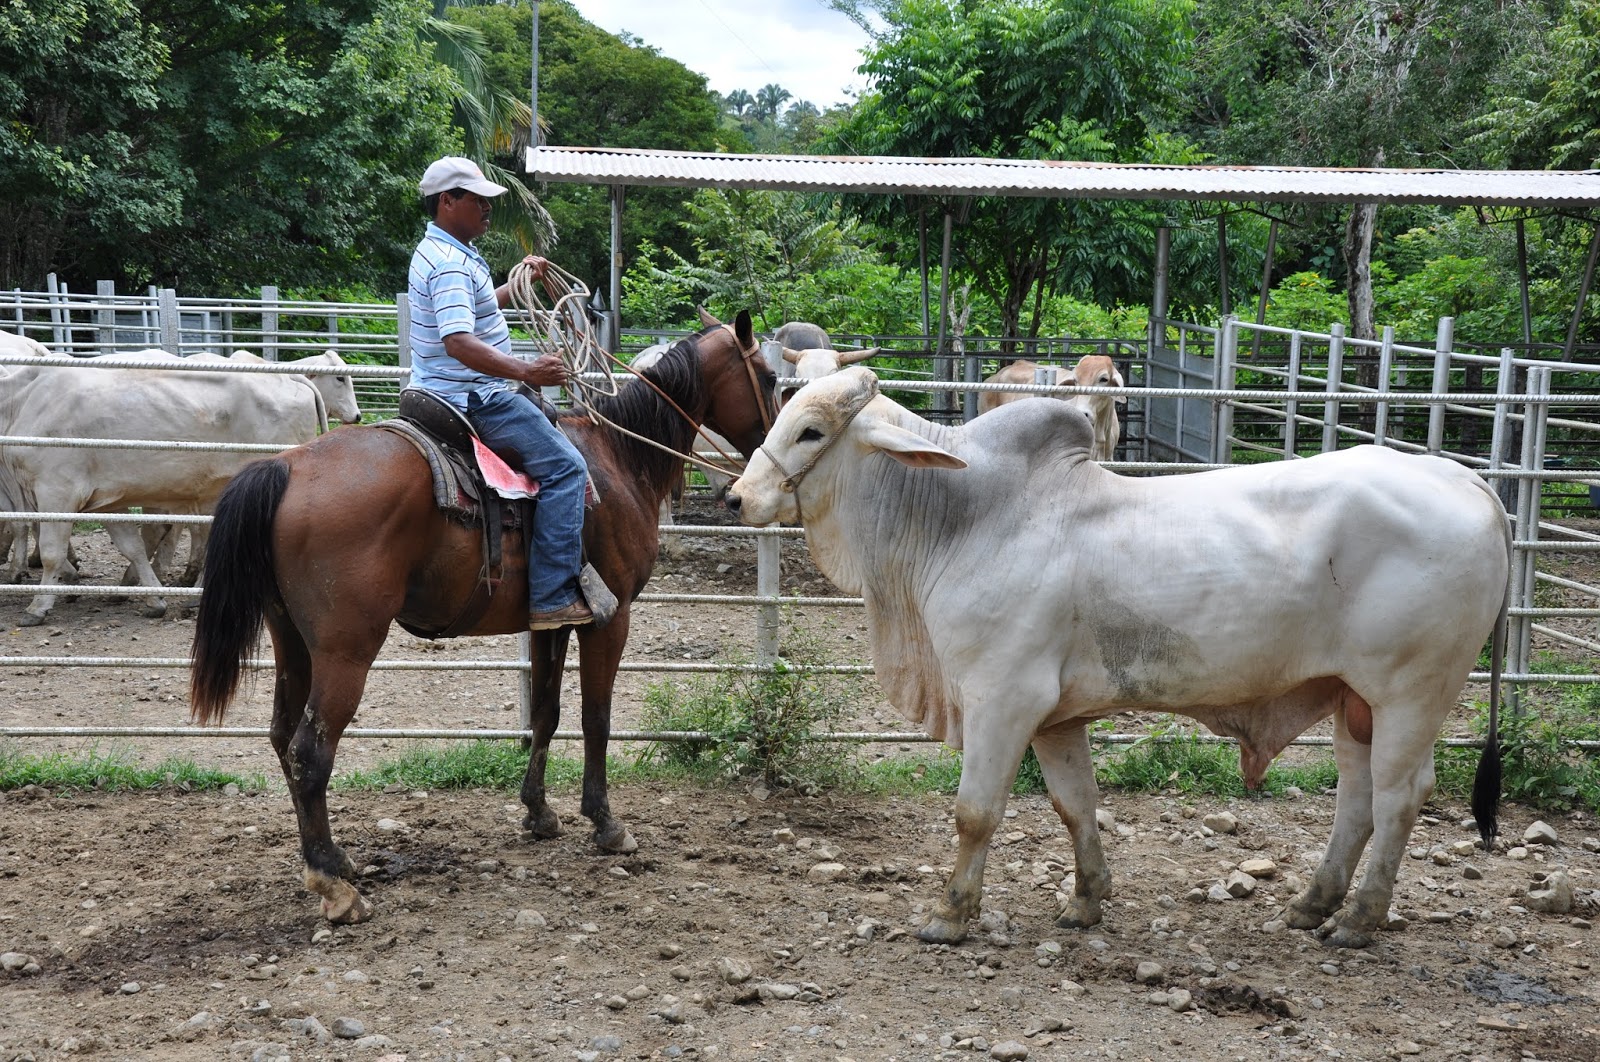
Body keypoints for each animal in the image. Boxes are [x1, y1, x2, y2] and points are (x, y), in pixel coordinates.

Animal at [0, 351, 356, 624]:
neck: (22, 399)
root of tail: (291, 376)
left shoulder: (56, 490)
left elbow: (51, 552)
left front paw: (38, 606)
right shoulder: (105, 500)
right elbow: (132, 547)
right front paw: (153, 599)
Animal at [724, 366, 1510, 950]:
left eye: (811, 430)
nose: (735, 498)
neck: (962, 516)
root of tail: (1464, 479)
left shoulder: (1000, 699)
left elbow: (976, 812)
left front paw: (949, 915)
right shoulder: (1054, 718)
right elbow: (1076, 805)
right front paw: (1085, 900)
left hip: (1409, 695)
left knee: (1399, 796)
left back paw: (1358, 920)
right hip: (1354, 701)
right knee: (1356, 799)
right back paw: (1312, 905)